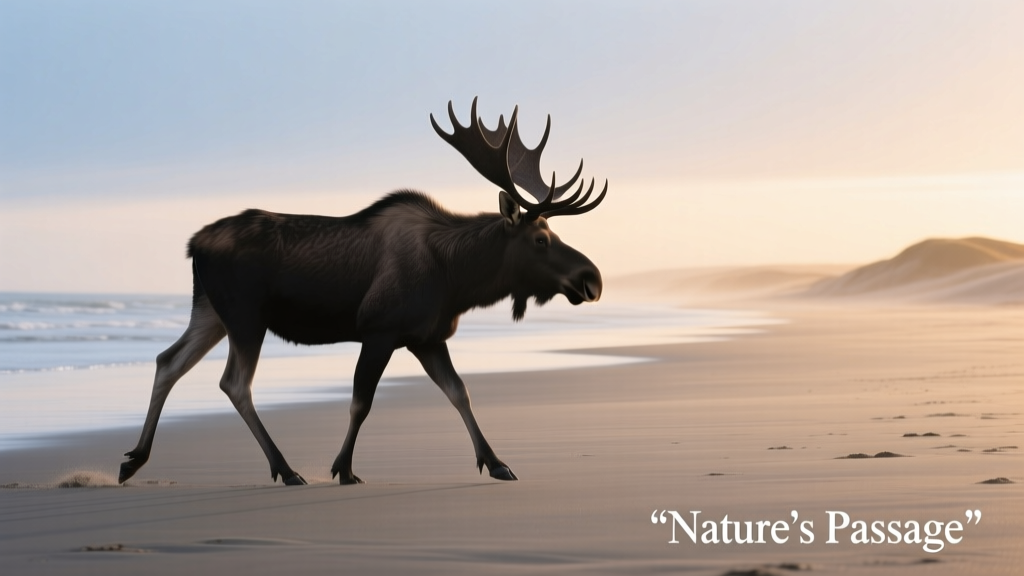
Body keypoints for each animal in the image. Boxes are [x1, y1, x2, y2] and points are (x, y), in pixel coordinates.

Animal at [118, 98, 607, 486]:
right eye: (540, 239)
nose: (593, 279)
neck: (456, 278)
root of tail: (193, 244)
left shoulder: (427, 337)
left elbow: (459, 392)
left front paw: (498, 462)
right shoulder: (380, 331)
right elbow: (361, 402)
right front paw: (344, 468)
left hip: (210, 312)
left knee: (168, 361)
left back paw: (134, 460)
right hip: (244, 315)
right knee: (234, 382)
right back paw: (286, 469)